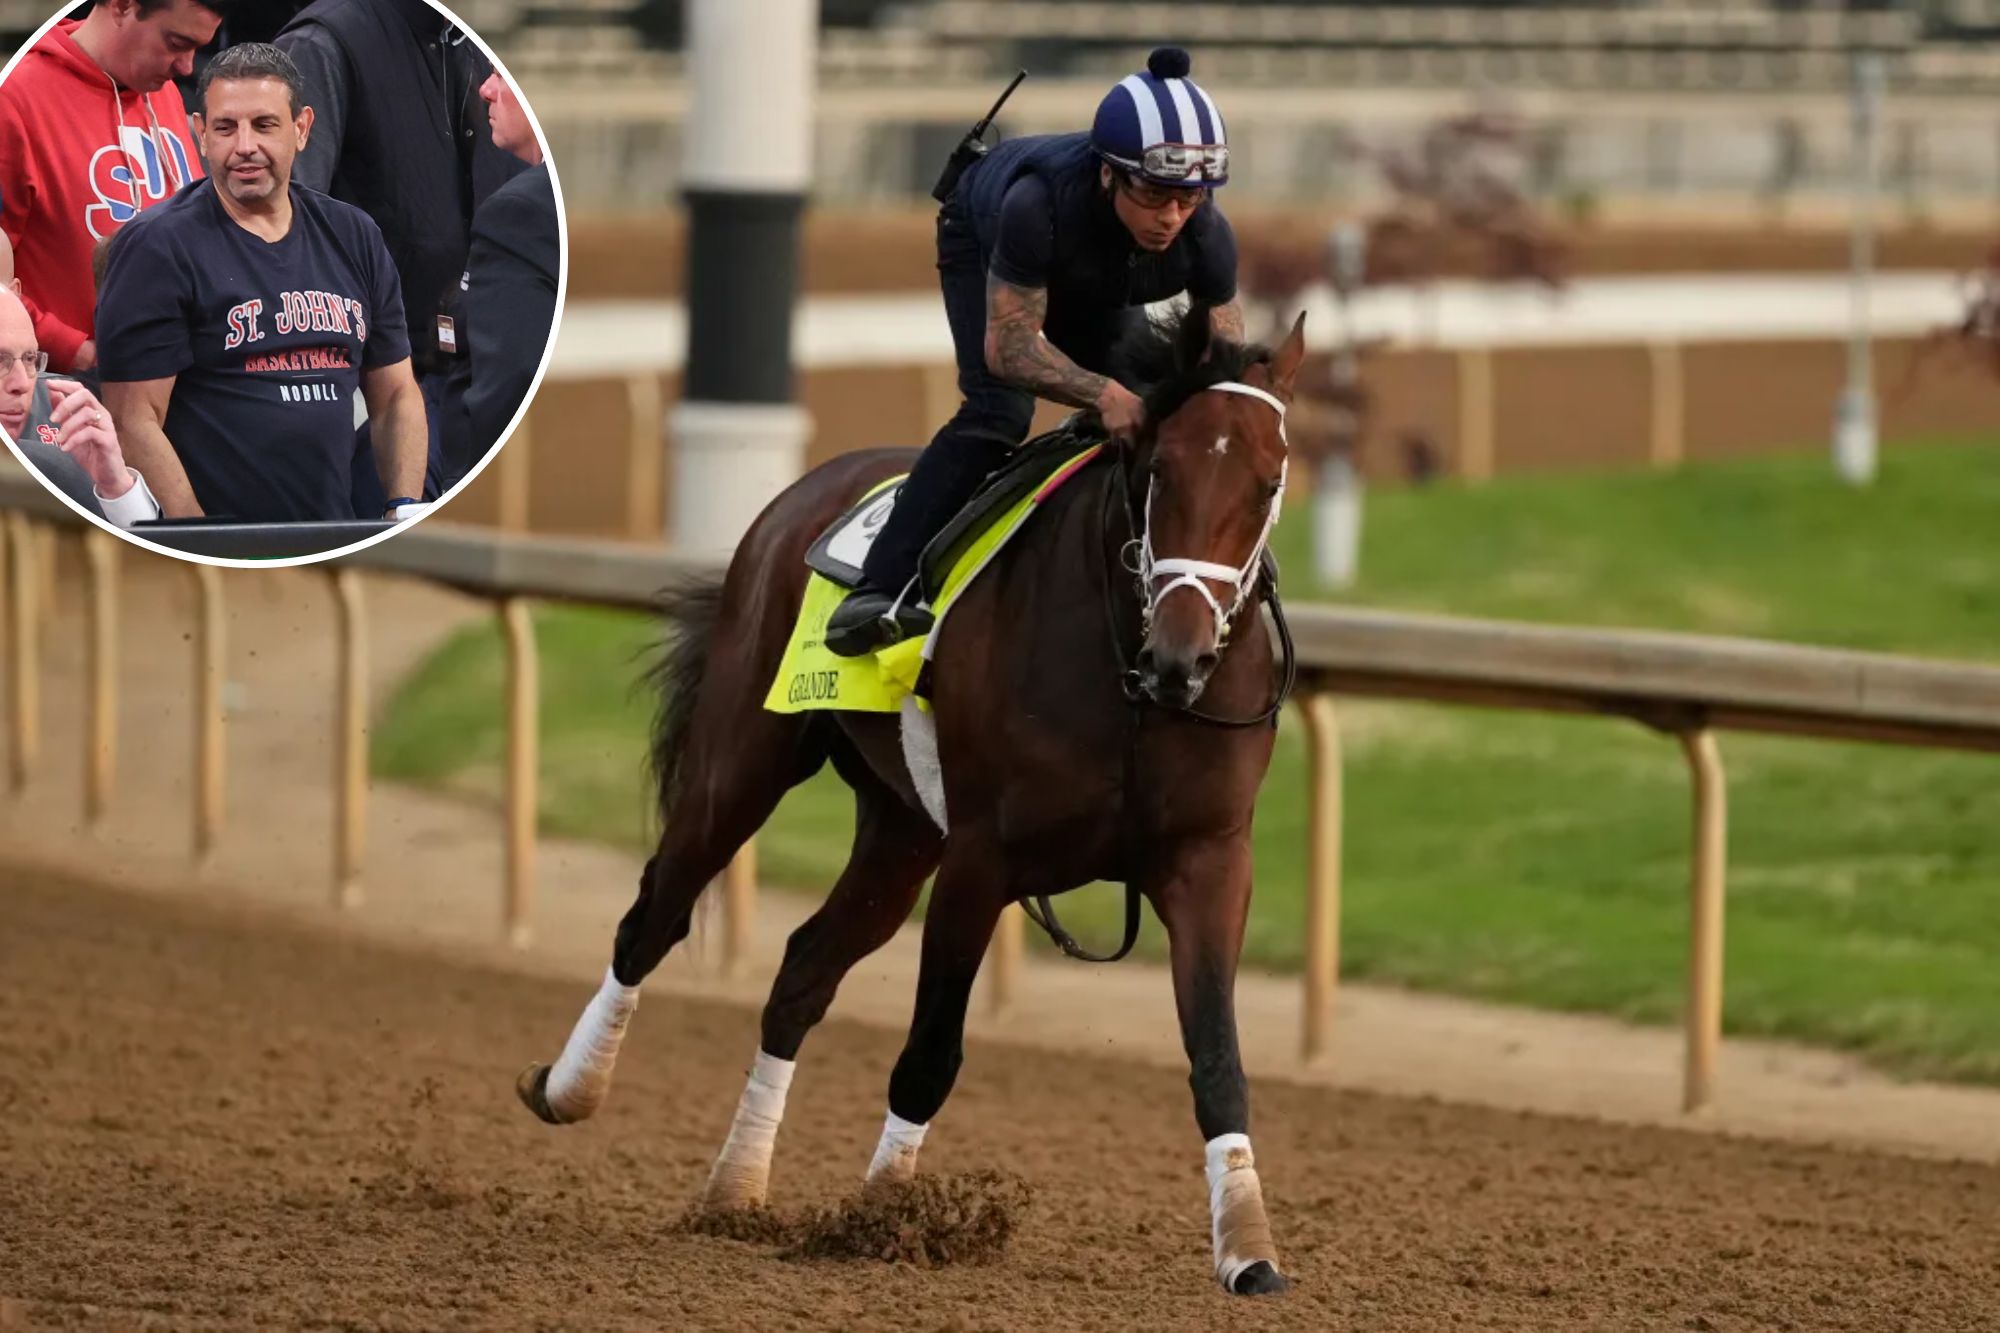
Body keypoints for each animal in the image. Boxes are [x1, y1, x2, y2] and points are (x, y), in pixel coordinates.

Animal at [517, 302, 1307, 1296]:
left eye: (1269, 481)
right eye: (1161, 468)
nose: (1182, 656)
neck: (1126, 672)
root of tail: (804, 491)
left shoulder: (1209, 860)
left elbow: (1217, 1059)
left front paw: (1251, 1252)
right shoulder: (981, 858)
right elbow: (930, 1051)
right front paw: (887, 1221)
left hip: (900, 832)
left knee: (803, 968)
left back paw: (735, 1191)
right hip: (744, 761)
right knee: (653, 917)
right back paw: (569, 1087)